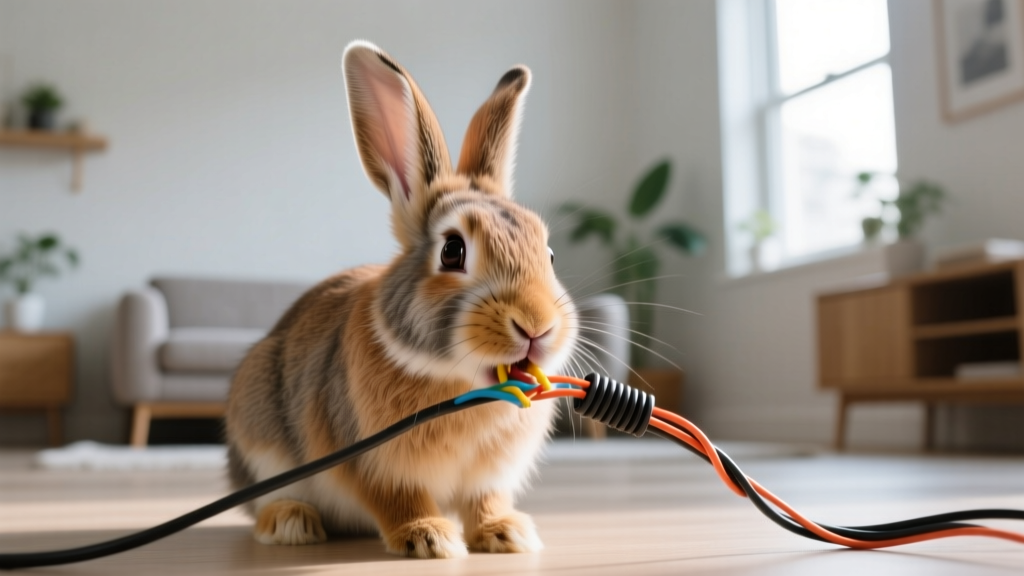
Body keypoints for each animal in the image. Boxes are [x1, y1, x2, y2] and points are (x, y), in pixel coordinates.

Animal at [224, 40, 578, 559]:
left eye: (549, 254)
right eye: (453, 251)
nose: (537, 325)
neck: (460, 387)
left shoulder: (488, 478)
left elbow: (485, 500)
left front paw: (508, 534)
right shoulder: (372, 461)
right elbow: (398, 498)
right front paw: (429, 538)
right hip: (261, 435)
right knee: (266, 501)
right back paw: (292, 522)